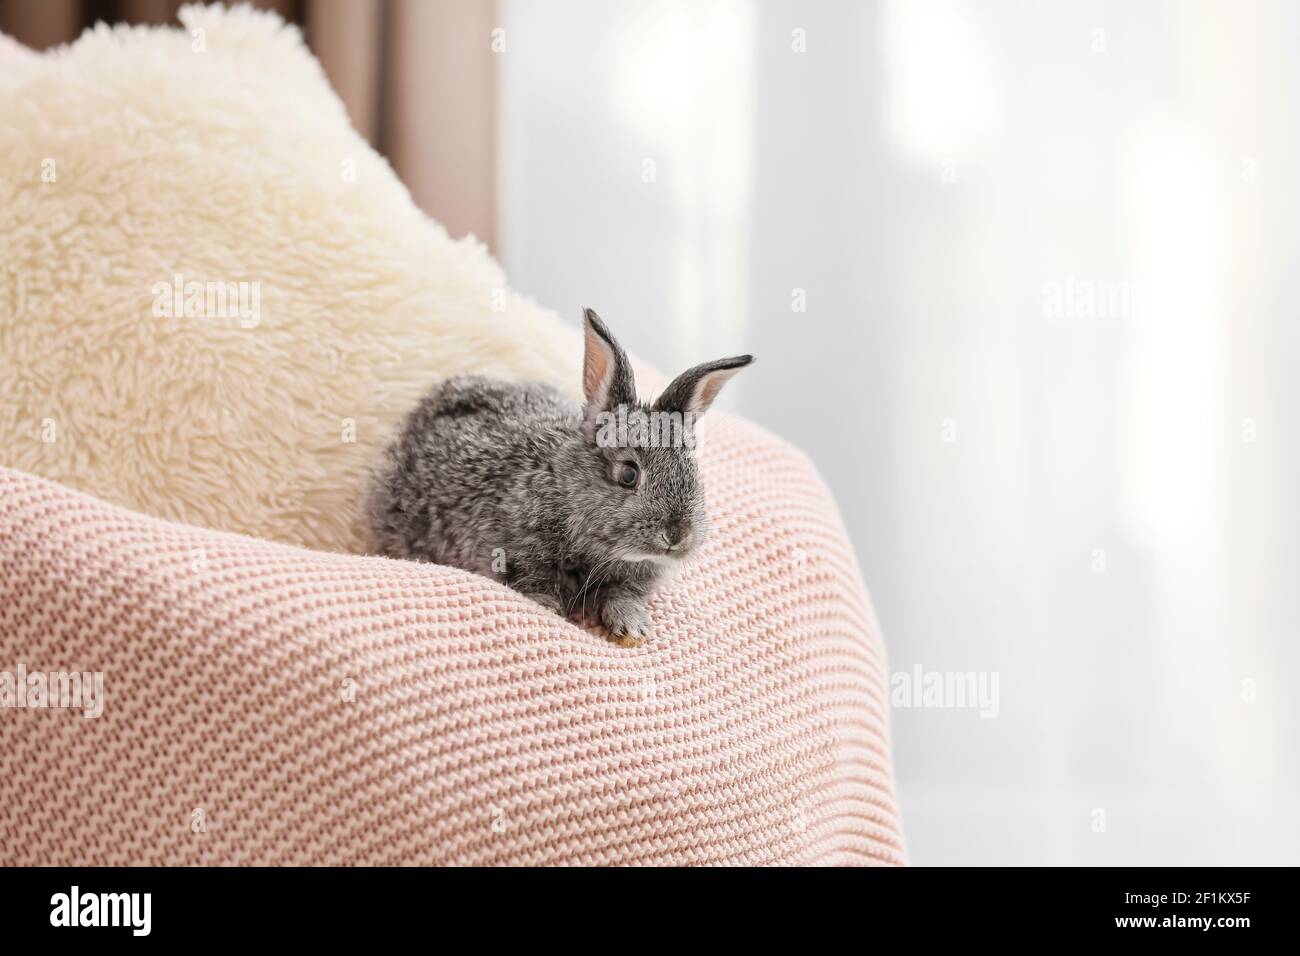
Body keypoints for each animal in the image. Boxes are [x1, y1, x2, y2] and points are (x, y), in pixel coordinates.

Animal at [365, 308, 753, 646]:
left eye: (693, 471)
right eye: (629, 474)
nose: (677, 534)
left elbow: (622, 595)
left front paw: (633, 627)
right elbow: (538, 585)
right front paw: (553, 609)